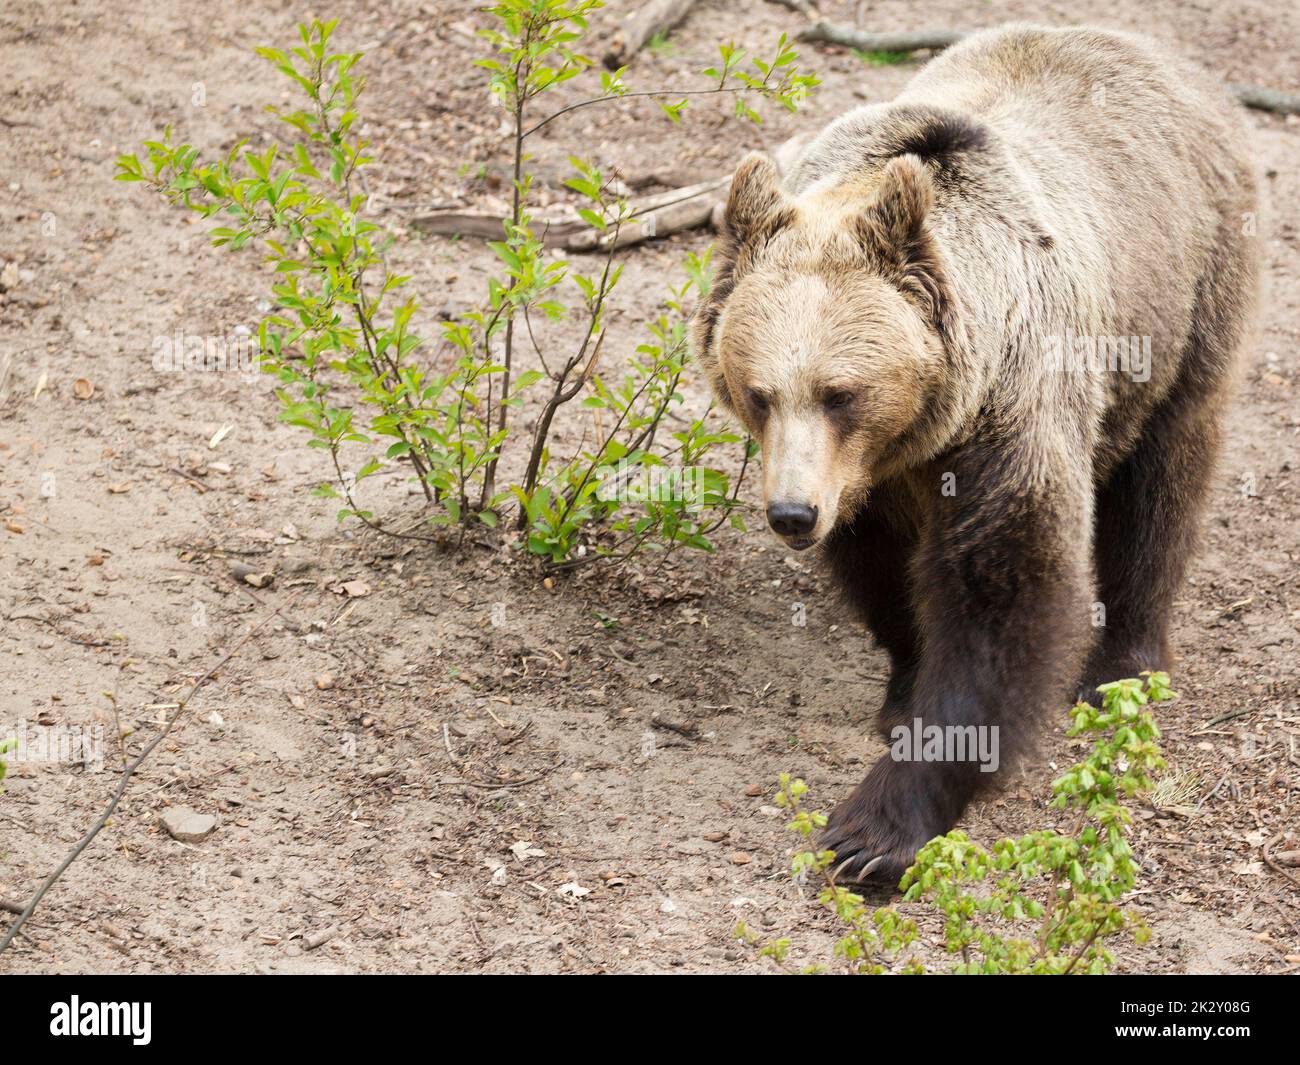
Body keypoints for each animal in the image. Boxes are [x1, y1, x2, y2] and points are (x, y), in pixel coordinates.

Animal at [690, 24, 1259, 883]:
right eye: (758, 392)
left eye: (840, 391)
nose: (792, 513)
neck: (924, 427)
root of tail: (1153, 49)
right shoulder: (865, 479)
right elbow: (882, 568)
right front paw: (902, 687)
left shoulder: (1011, 411)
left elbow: (1004, 587)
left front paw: (872, 831)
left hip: (1184, 297)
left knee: (1163, 481)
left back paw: (1123, 663)